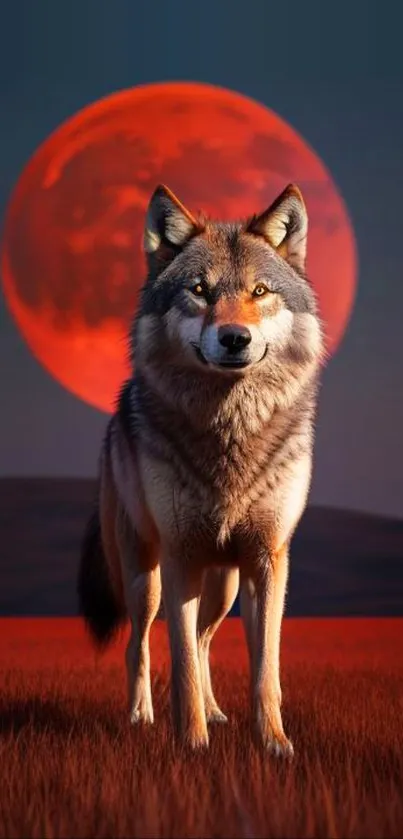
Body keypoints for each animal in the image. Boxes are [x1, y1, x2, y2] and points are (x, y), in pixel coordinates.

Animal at [78, 182, 324, 756]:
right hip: (145, 578)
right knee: (141, 644)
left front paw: (274, 744)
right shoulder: (180, 554)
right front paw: (190, 745)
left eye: (260, 291)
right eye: (199, 290)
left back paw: (214, 712)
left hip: (224, 584)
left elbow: (265, 669)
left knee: (207, 640)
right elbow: (182, 663)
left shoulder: (268, 559)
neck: (229, 436)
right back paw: (142, 716)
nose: (235, 338)